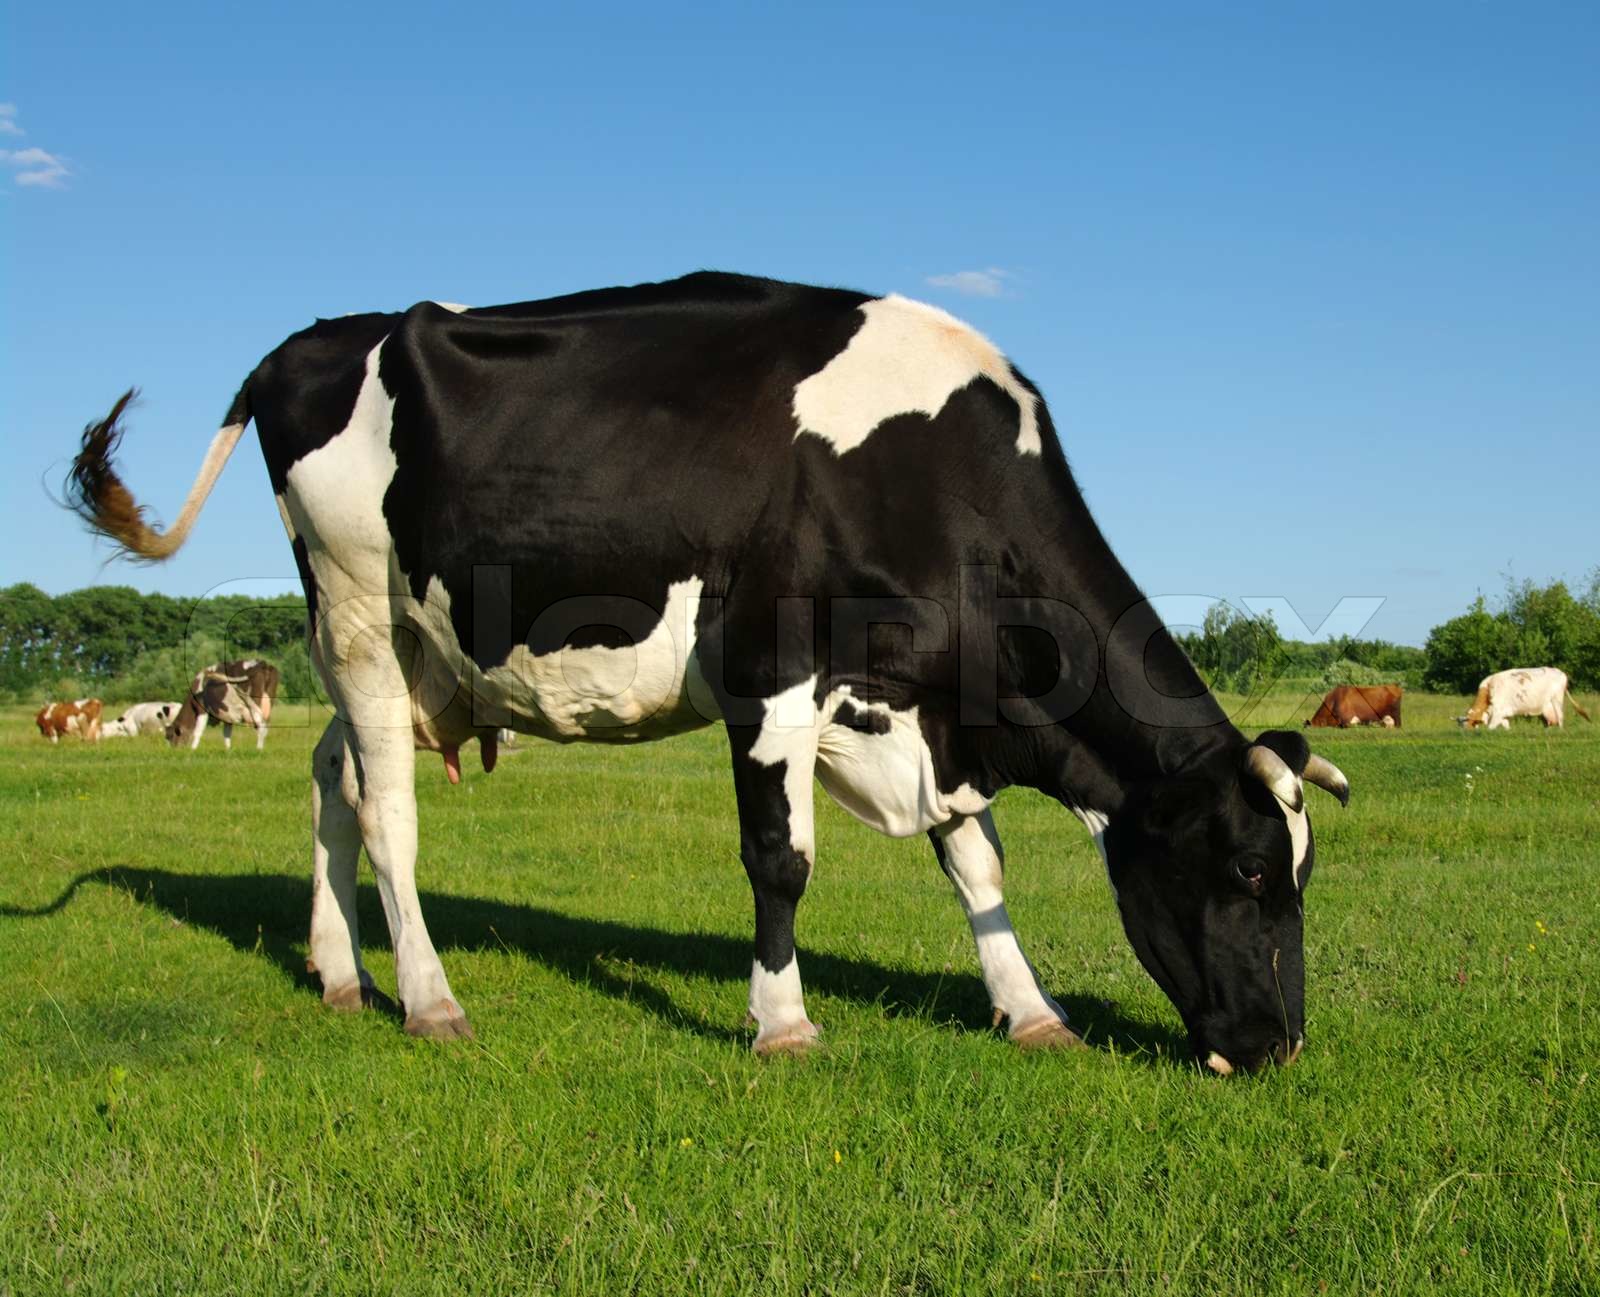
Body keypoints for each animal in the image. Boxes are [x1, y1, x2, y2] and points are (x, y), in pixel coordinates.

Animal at [66, 271, 1351, 1075]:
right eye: (1245, 867)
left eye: (1299, 872)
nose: (1280, 1043)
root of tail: (318, 337)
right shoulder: (768, 669)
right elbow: (781, 862)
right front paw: (780, 1022)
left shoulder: (930, 710)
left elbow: (977, 862)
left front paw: (1029, 1011)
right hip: (355, 614)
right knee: (387, 812)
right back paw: (428, 998)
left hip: (402, 650)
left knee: (331, 781)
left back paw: (337, 972)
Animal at [1462, 667, 1592, 730]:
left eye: (1469, 725)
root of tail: (1560, 672)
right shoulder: (1503, 715)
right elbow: (1506, 727)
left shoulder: (1498, 712)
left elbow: (1490, 728)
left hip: (1556, 700)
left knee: (1560, 717)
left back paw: (1560, 731)